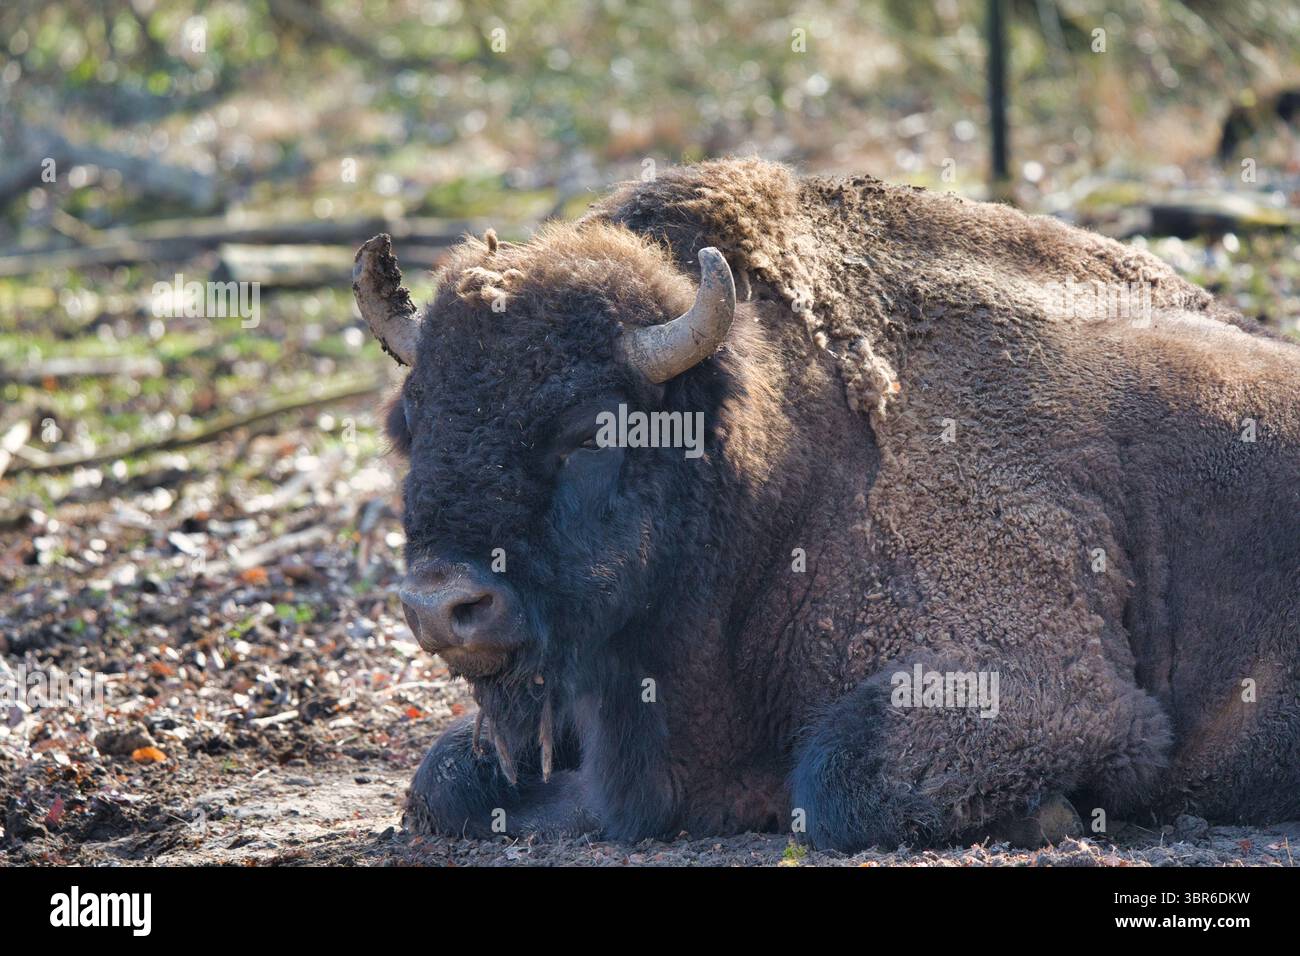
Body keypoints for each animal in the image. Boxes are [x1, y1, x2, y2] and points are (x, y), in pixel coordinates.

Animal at [353, 158, 1300, 850]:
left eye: (592, 428)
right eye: (413, 419)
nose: (442, 604)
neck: (786, 477)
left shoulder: (1047, 685)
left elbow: (840, 783)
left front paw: (1048, 811)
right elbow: (442, 779)